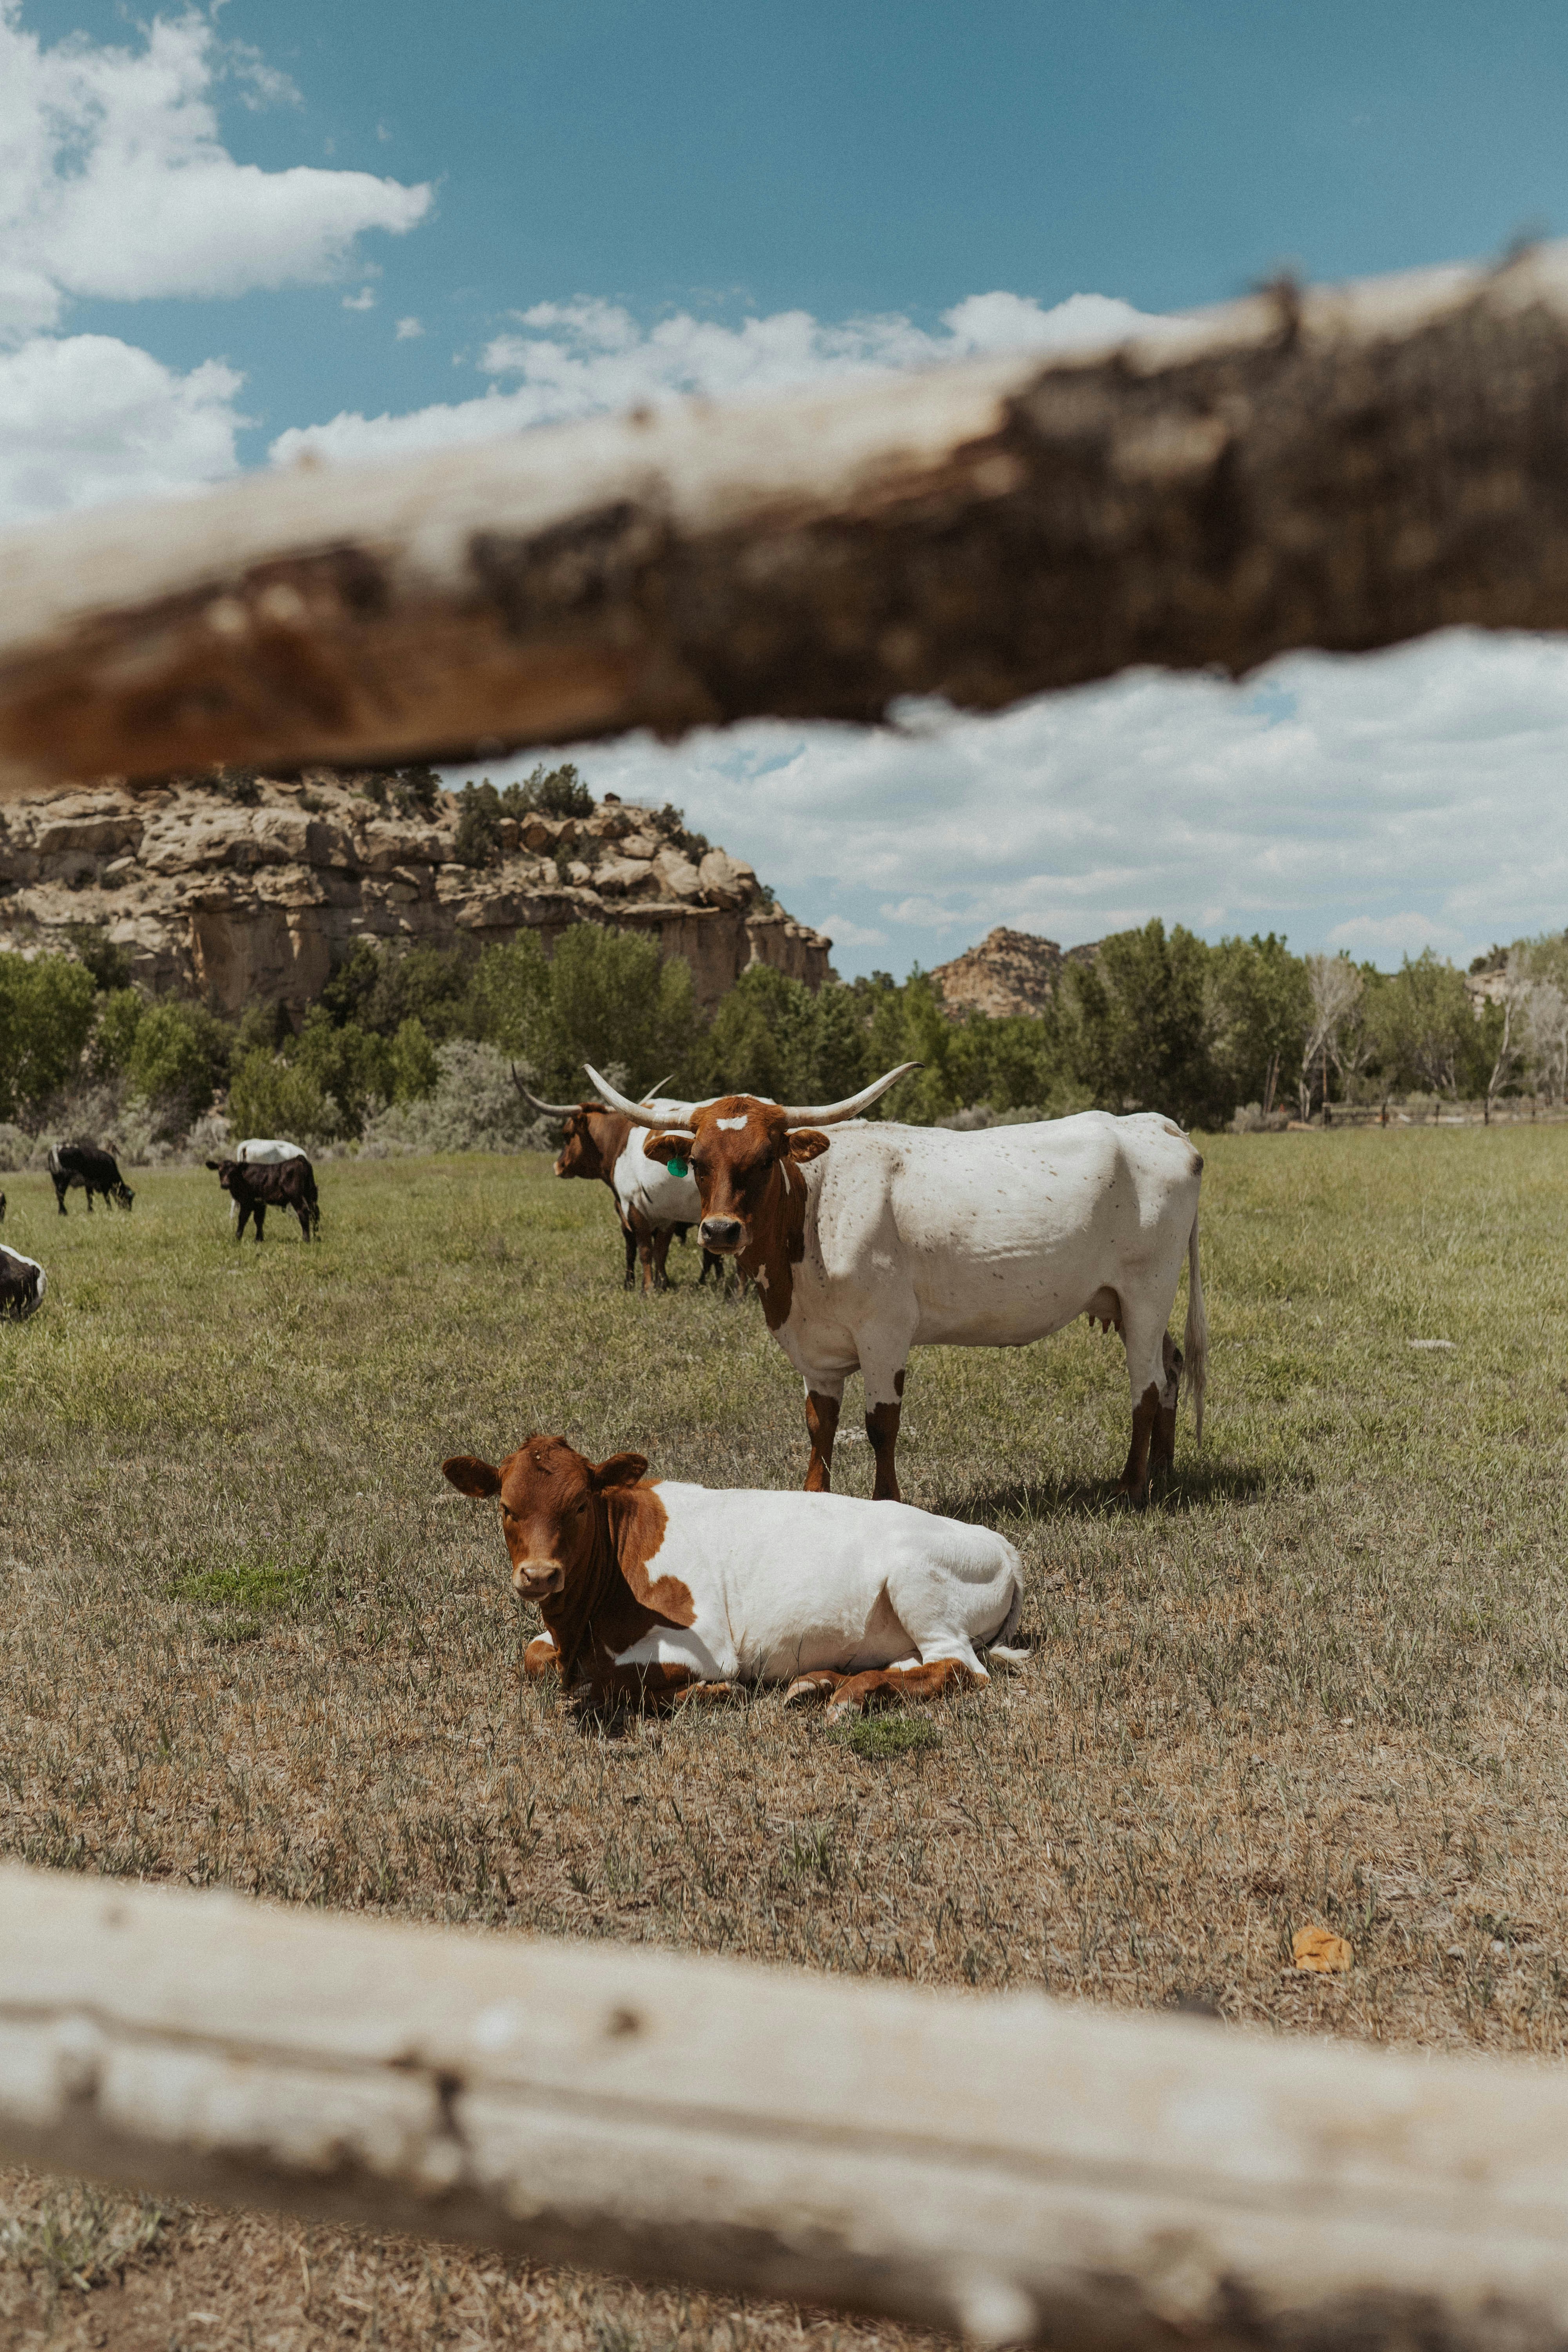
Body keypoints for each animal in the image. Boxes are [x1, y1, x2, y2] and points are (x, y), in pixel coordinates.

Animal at [47, 1142, 134, 1215]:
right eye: (129, 1198)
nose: (129, 1210)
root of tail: (58, 1147)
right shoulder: (104, 1185)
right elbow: (107, 1198)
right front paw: (110, 1209)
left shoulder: (89, 1184)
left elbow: (90, 1197)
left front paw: (90, 1211)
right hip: (64, 1180)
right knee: (61, 1194)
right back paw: (64, 1212)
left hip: (56, 1179)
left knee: (59, 1194)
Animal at [206, 1154, 320, 1242]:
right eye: (220, 1172)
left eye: (233, 1172)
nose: (225, 1185)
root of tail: (298, 1159)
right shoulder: (260, 1203)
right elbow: (259, 1220)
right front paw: (259, 1239)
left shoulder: (247, 1202)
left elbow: (243, 1219)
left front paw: (237, 1238)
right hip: (310, 1193)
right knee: (315, 1212)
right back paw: (316, 1237)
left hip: (295, 1195)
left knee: (303, 1211)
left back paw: (306, 1239)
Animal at [441, 1432, 1026, 1719]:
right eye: (506, 1508)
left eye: (580, 1505)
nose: (539, 1575)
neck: (581, 1623)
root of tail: (999, 1541)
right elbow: (533, 1657)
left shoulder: (706, 1645)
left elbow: (606, 1684)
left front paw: (713, 1693)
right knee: (915, 1665)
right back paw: (822, 1684)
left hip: (919, 1585)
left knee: (960, 1669)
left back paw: (846, 1697)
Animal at [513, 1073, 725, 1293]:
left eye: (567, 1134)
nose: (558, 1166)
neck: (620, 1138)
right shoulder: (666, 1216)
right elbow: (660, 1251)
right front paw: (662, 1283)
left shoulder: (631, 1208)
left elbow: (641, 1250)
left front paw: (644, 1287)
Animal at [587, 1062, 1208, 1509]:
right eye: (696, 1160)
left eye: (765, 1158)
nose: (719, 1230)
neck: (811, 1212)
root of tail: (1154, 1124)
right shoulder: (815, 1347)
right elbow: (820, 1425)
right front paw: (814, 1500)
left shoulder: (883, 1333)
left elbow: (881, 1425)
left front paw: (887, 1501)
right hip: (1130, 1303)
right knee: (1172, 1367)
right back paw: (1164, 1470)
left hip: (1147, 1293)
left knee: (1147, 1386)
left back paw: (1131, 1487)